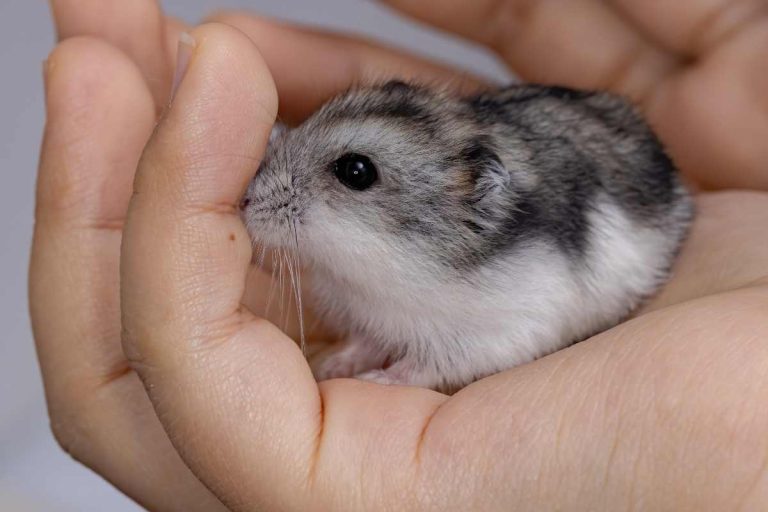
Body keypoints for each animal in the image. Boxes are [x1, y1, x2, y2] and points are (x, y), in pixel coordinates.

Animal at [240, 81, 694, 392]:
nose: (244, 201)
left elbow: (426, 364)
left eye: (356, 171)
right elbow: (366, 340)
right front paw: (335, 364)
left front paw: (377, 379)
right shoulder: (370, 315)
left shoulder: (494, 334)